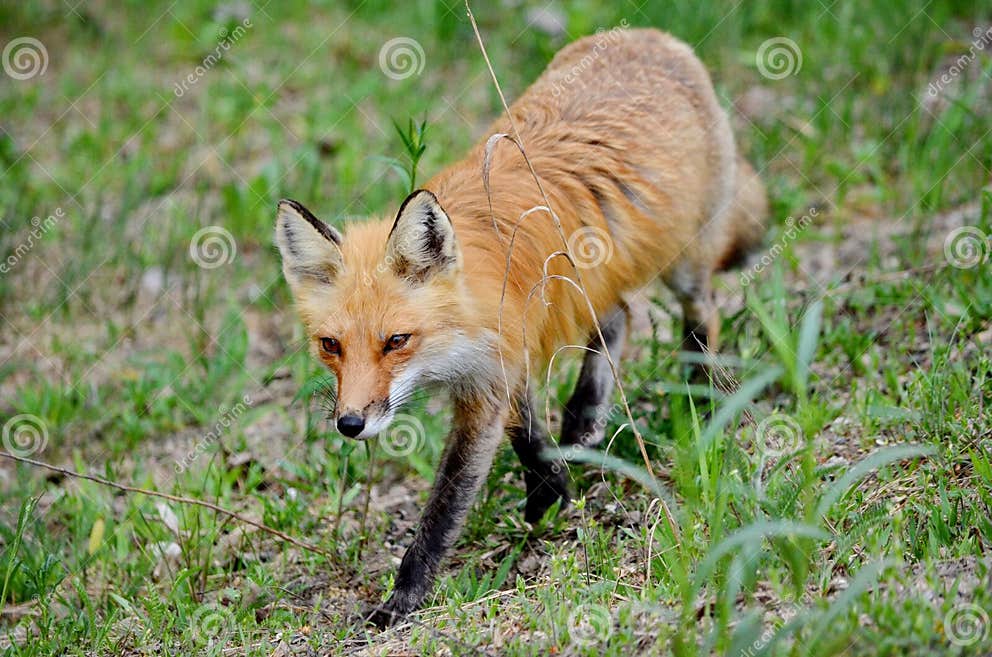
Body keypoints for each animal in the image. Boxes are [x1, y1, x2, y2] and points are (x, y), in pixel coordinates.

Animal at [274, 28, 766, 626]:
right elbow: (530, 438)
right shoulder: (503, 361)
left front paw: (404, 597)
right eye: (331, 345)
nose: (350, 424)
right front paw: (551, 496)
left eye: (396, 342)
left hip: (685, 261)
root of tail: (652, 36)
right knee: (620, 317)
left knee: (702, 314)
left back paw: (698, 393)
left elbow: (444, 507)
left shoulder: (490, 379)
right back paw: (585, 418)